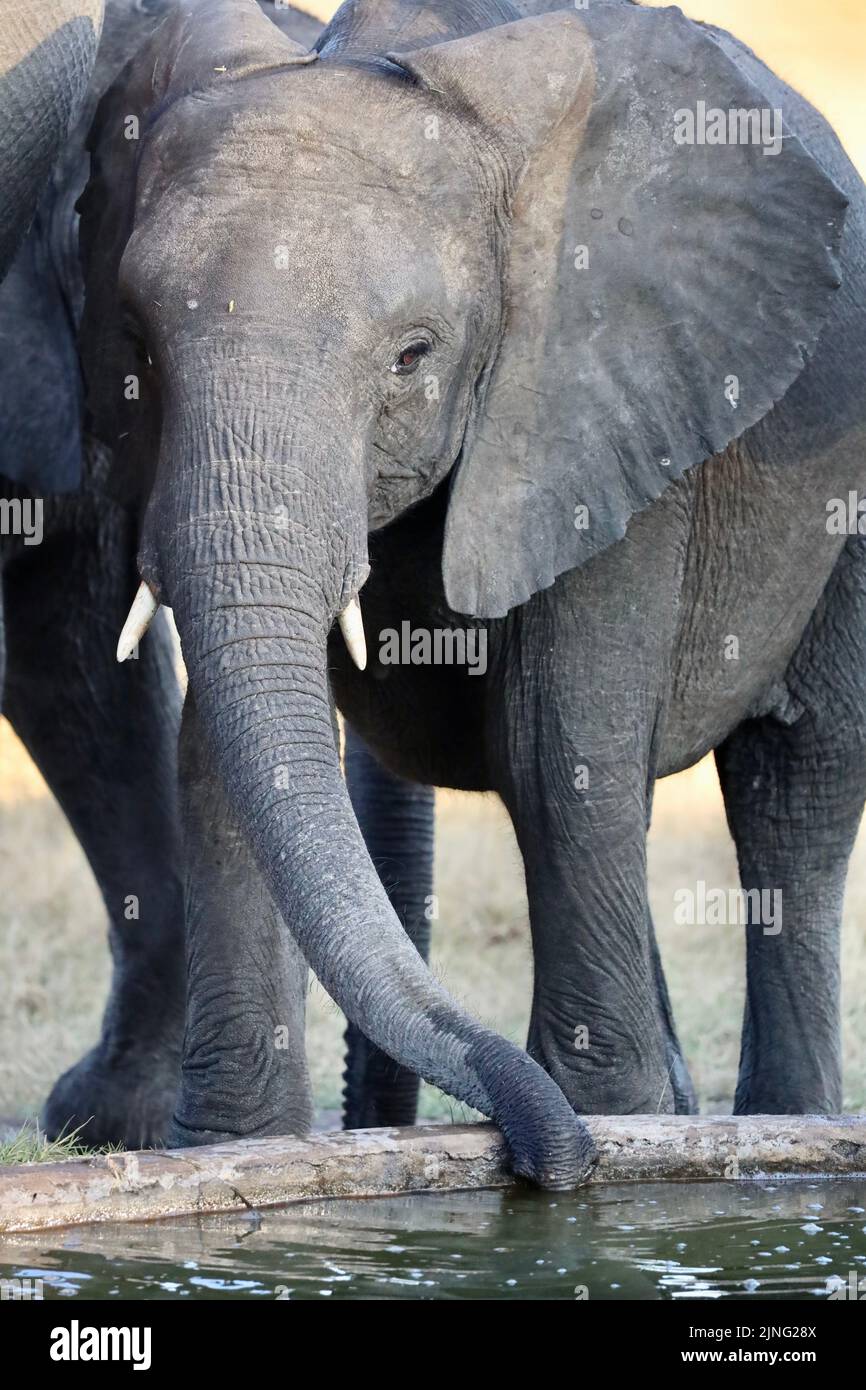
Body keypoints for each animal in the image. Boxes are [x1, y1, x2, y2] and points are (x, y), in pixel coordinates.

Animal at [73, 0, 866, 1186]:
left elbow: (555, 751)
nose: (550, 1155)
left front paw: (606, 1139)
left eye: (412, 356)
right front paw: (238, 1151)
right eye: (139, 351)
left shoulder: (600, 398)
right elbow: (217, 765)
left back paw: (784, 1130)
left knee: (797, 789)